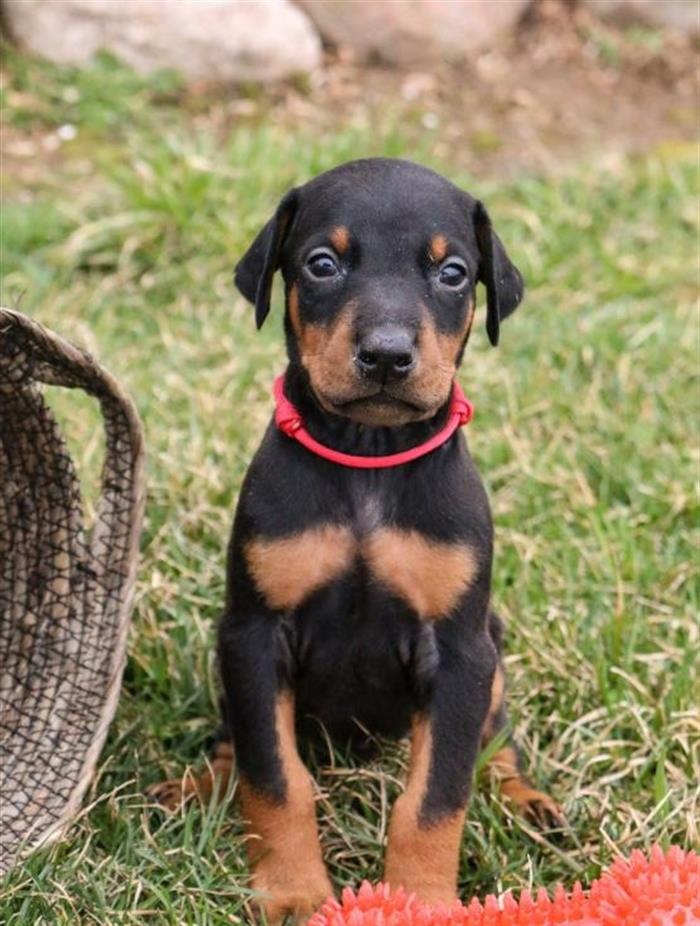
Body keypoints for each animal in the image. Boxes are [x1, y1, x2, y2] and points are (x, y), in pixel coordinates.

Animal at [149, 158, 564, 920]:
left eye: (453, 273)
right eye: (323, 263)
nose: (387, 356)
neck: (367, 455)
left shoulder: (459, 651)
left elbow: (436, 797)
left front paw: (422, 901)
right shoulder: (254, 634)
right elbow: (275, 778)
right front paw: (291, 893)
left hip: (491, 648)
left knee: (495, 739)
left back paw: (524, 800)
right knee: (237, 743)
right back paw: (199, 787)